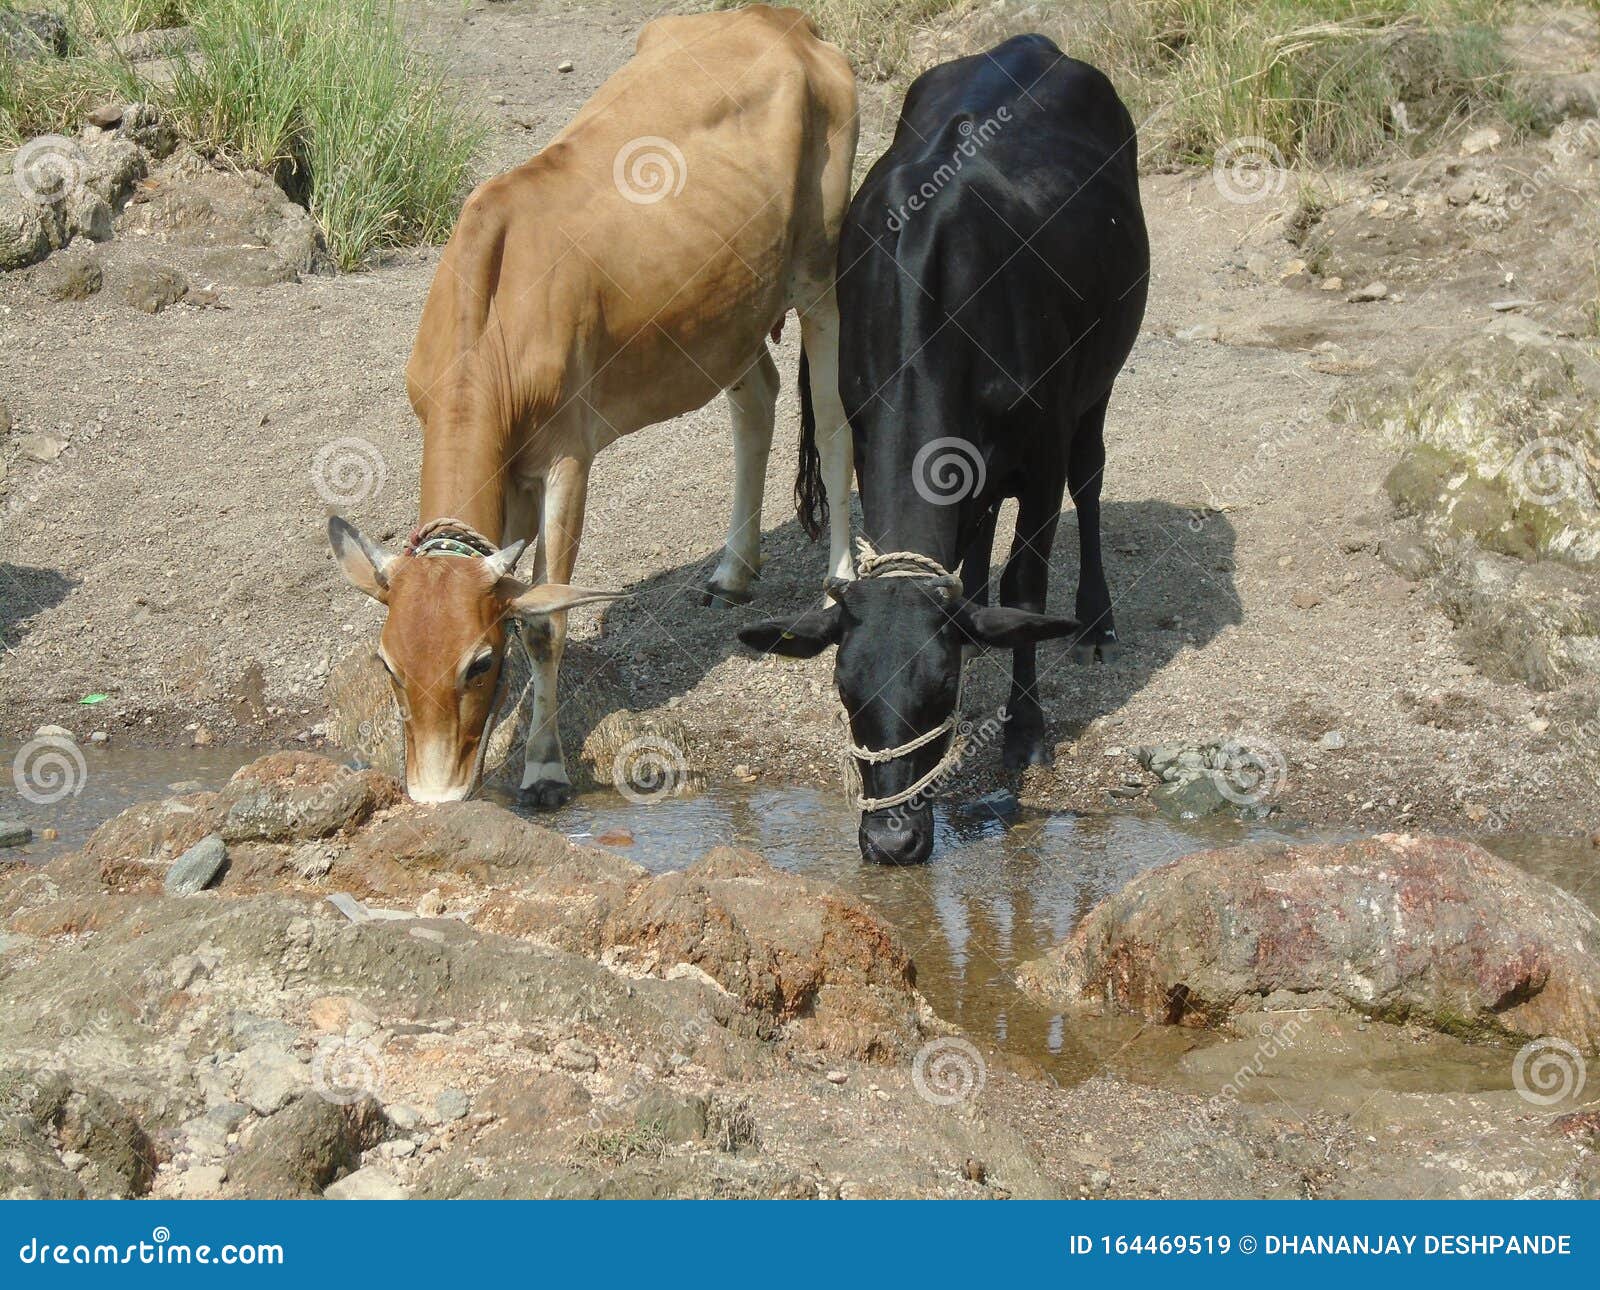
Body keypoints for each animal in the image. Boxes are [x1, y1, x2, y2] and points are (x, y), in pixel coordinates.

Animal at [328, 6, 859, 807]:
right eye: (389, 665)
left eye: (477, 663)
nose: (434, 796)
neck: (490, 330)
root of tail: (788, 23)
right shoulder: (510, 467)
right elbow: (523, 593)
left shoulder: (567, 454)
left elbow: (546, 619)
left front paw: (544, 768)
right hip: (726, 314)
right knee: (757, 400)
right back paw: (733, 573)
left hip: (819, 269)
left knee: (832, 421)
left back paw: (839, 585)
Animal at [738, 35, 1149, 864]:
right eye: (845, 692)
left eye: (941, 688)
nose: (891, 840)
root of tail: (1037, 44)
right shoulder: (869, 433)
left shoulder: (1043, 454)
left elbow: (1030, 581)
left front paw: (1025, 730)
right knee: (978, 521)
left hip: (1098, 383)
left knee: (1091, 479)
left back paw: (1095, 619)